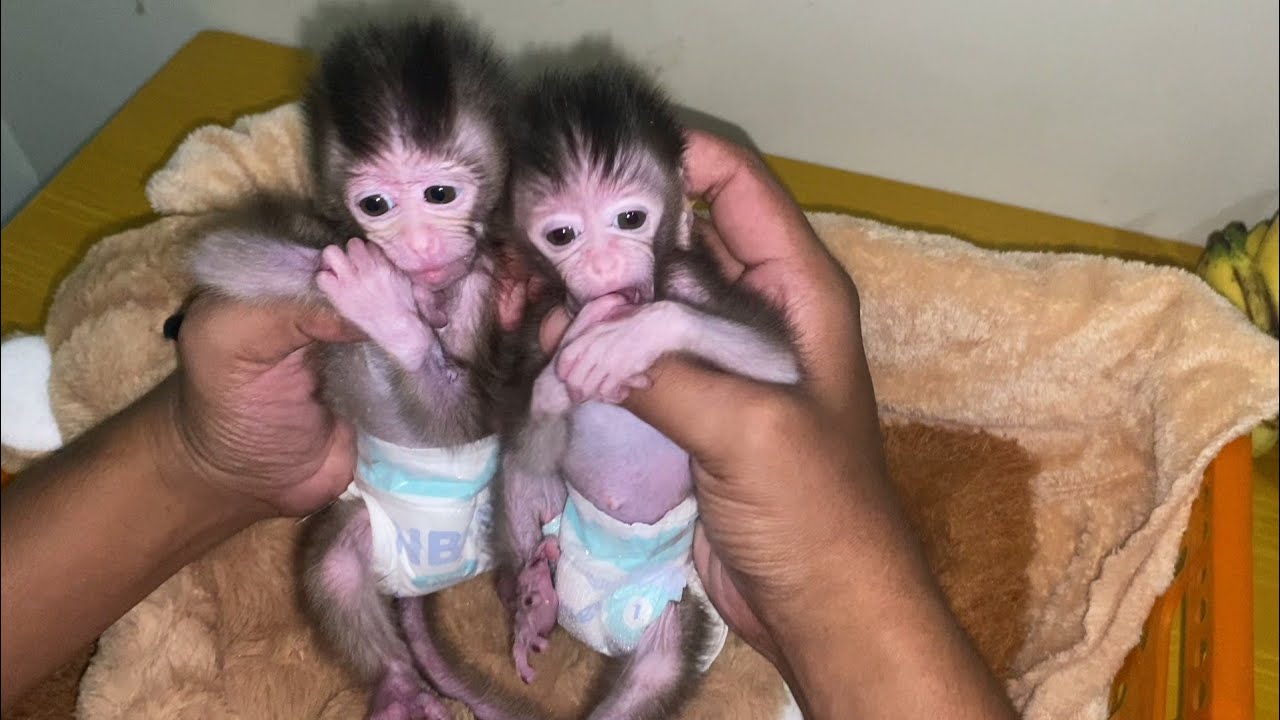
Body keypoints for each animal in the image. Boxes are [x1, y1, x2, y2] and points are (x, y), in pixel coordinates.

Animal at [185, 19, 518, 720]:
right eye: (376, 204)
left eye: (440, 194)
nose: (417, 246)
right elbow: (221, 248)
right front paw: (374, 288)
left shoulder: (481, 286)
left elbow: (469, 417)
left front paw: (392, 311)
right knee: (336, 562)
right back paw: (398, 685)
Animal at [491, 63, 803, 720]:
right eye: (562, 234)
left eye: (629, 220)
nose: (604, 265)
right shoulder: (540, 323)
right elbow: (528, 440)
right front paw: (557, 382)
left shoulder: (688, 279)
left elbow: (779, 365)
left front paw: (628, 338)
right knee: (520, 486)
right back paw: (532, 601)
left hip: (672, 608)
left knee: (657, 666)